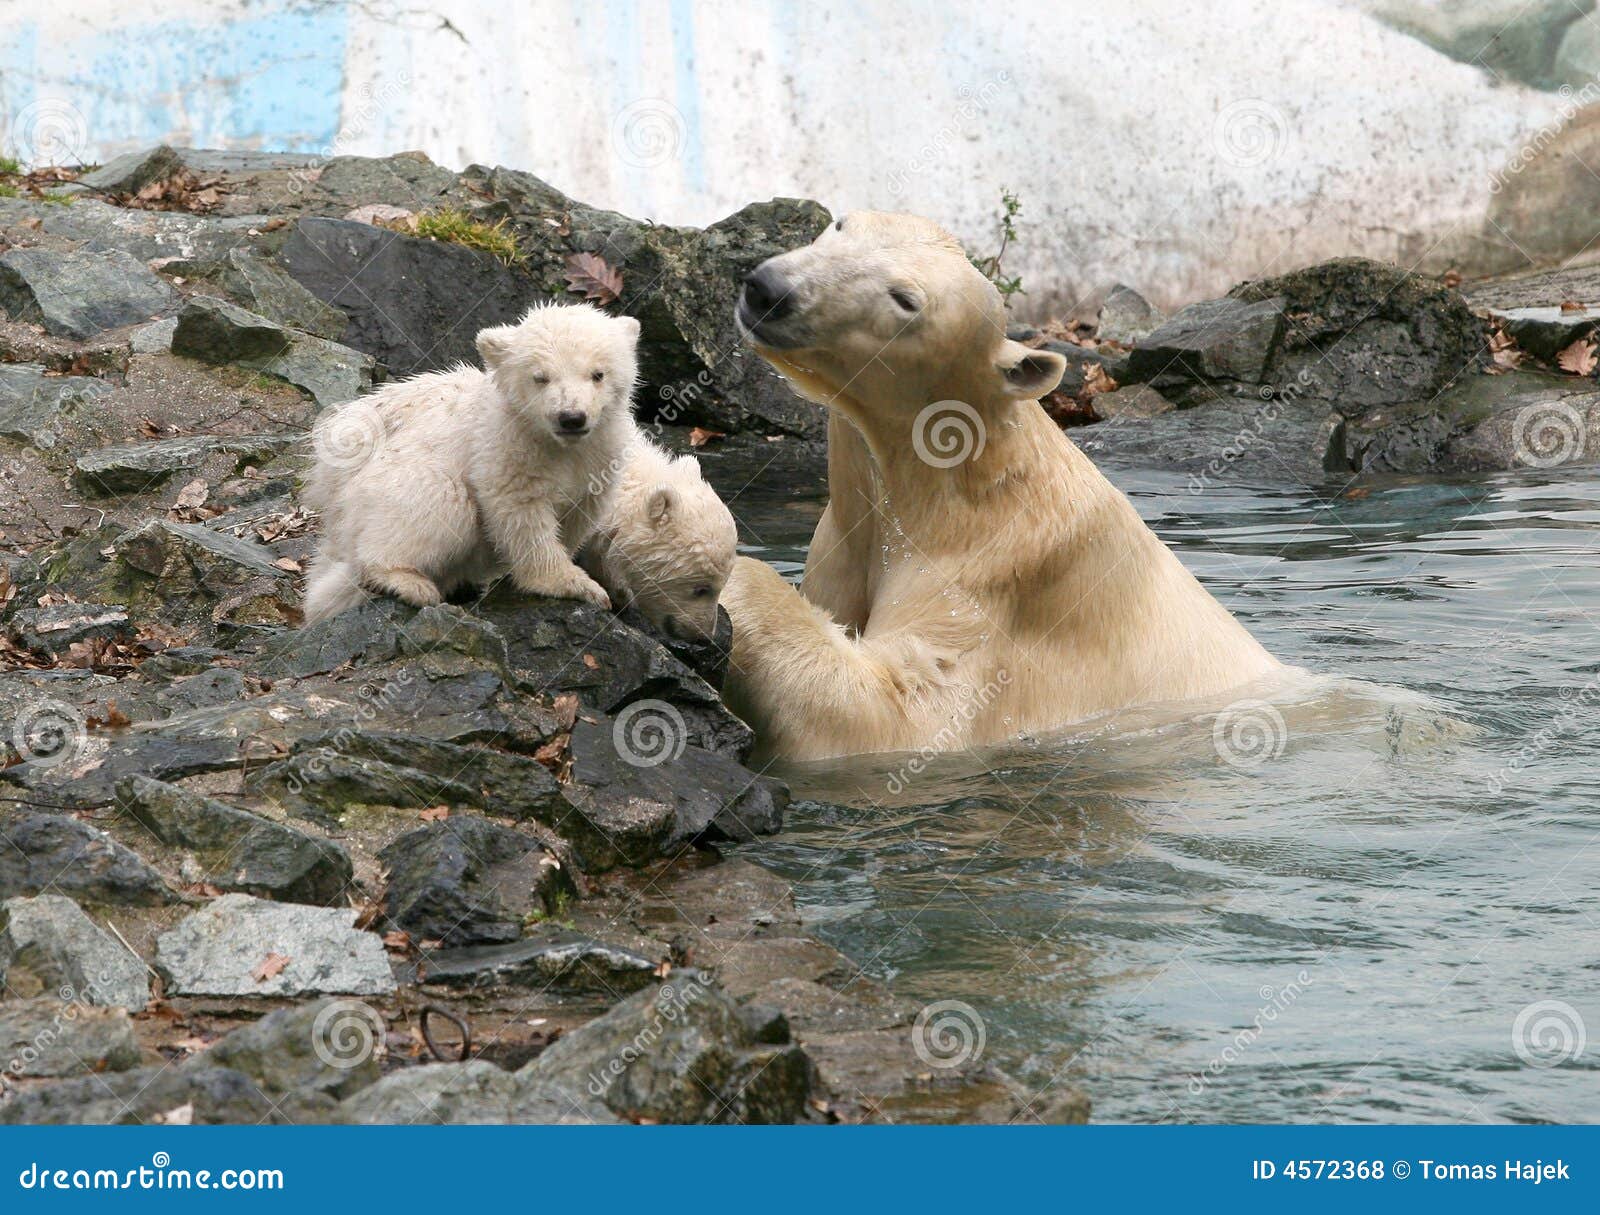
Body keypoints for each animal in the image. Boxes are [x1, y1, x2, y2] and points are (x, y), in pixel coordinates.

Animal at [301, 302, 640, 624]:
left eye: (598, 374)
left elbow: (579, 513)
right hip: (390, 482)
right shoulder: (504, 445)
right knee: (439, 503)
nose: (571, 418)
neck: (556, 444)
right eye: (540, 377)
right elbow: (521, 511)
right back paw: (404, 581)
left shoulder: (601, 454)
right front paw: (575, 584)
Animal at [721, 210, 1281, 761]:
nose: (769, 290)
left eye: (905, 300)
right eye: (840, 226)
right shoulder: (843, 545)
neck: (953, 493)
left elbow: (903, 711)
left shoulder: (999, 585)